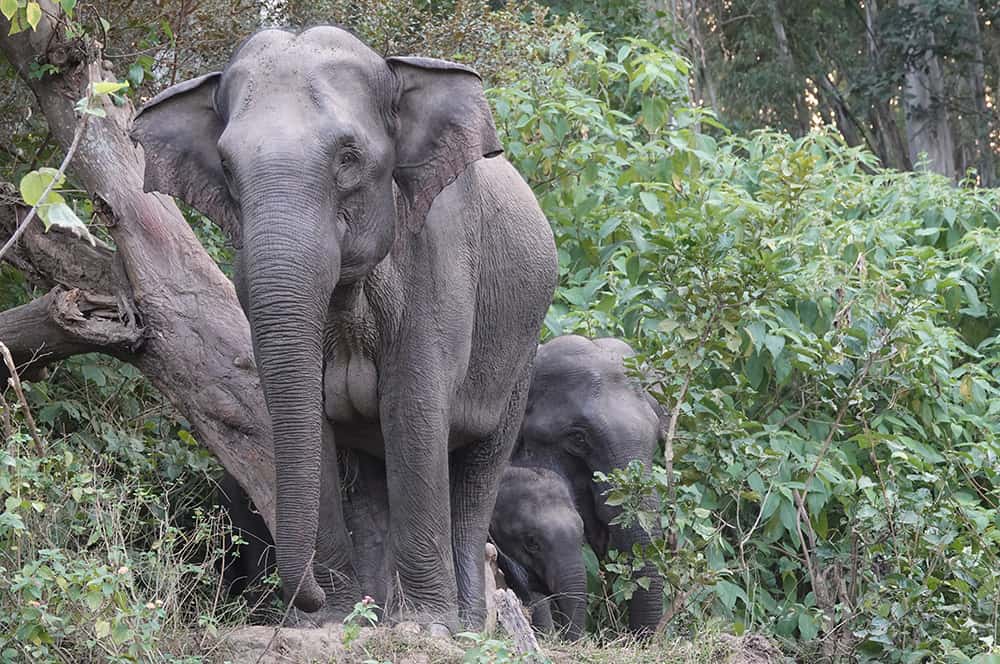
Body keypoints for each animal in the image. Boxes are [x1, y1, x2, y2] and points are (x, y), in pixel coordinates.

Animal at [131, 26, 557, 633]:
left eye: (348, 157)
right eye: (226, 166)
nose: (300, 600)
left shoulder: (438, 256)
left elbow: (414, 410)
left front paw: (427, 626)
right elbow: (312, 418)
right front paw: (333, 622)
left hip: (521, 349)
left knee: (478, 473)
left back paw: (469, 625)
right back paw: (374, 615)